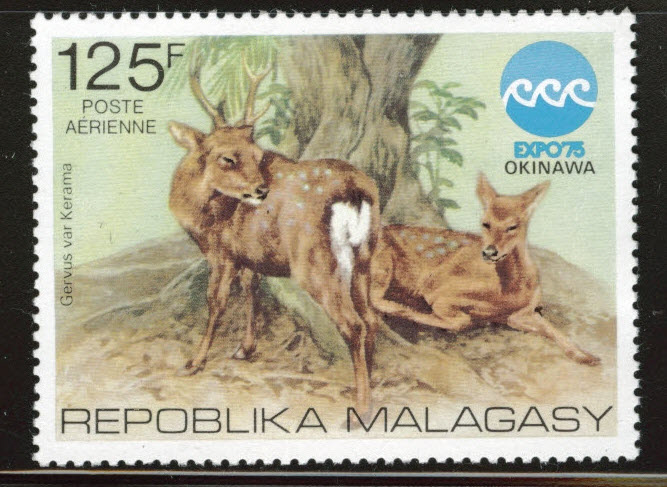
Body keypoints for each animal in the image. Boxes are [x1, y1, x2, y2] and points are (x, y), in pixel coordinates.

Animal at [167, 56, 383, 415]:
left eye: (257, 156)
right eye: (228, 157)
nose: (260, 190)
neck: (201, 216)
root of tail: (356, 192)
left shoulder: (223, 253)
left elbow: (216, 302)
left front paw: (194, 362)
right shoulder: (249, 254)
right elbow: (251, 290)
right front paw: (245, 349)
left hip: (315, 261)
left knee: (353, 324)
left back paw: (361, 407)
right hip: (365, 254)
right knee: (372, 317)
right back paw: (376, 379)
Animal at [370, 173, 601, 366]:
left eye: (512, 226)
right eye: (485, 223)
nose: (489, 252)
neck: (508, 293)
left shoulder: (524, 312)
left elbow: (553, 330)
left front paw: (587, 356)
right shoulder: (441, 292)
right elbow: (461, 320)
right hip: (382, 262)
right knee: (375, 298)